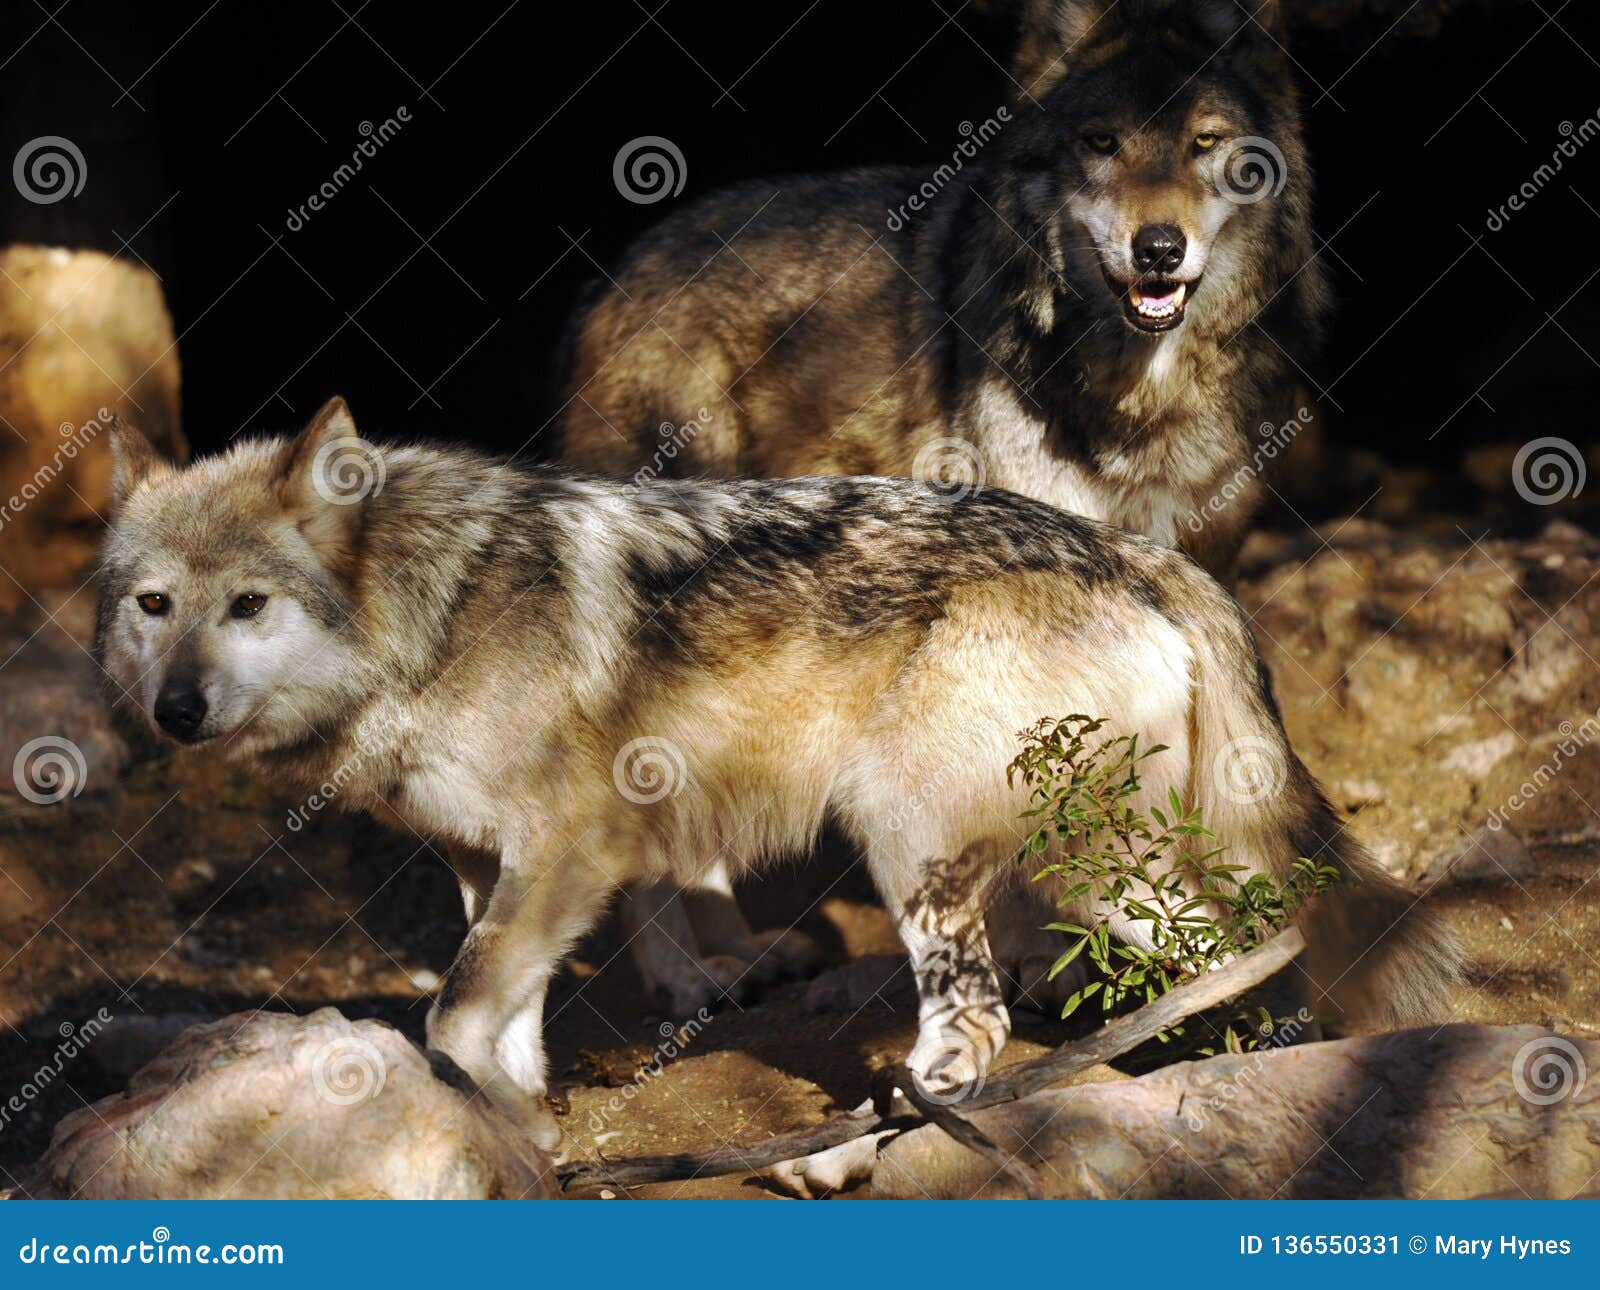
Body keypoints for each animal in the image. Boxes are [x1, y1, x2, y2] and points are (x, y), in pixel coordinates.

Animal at [98, 399, 1457, 1178]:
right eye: (153, 604)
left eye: (248, 605)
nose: (175, 710)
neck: (428, 618)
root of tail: (1152, 558)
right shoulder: (489, 867)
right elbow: (507, 1031)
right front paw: (525, 1144)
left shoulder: (573, 850)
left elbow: (457, 1023)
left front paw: (527, 1144)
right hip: (1071, 863)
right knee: (1238, 947)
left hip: (932, 842)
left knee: (1008, 1013)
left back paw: (889, 1137)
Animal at [557, 0, 1328, 1017]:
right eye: (1101, 143)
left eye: (1204, 144)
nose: (1159, 248)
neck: (1132, 398)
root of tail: (620, 272)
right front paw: (1038, 962)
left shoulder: (1194, 571)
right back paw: (689, 981)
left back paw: (745, 955)